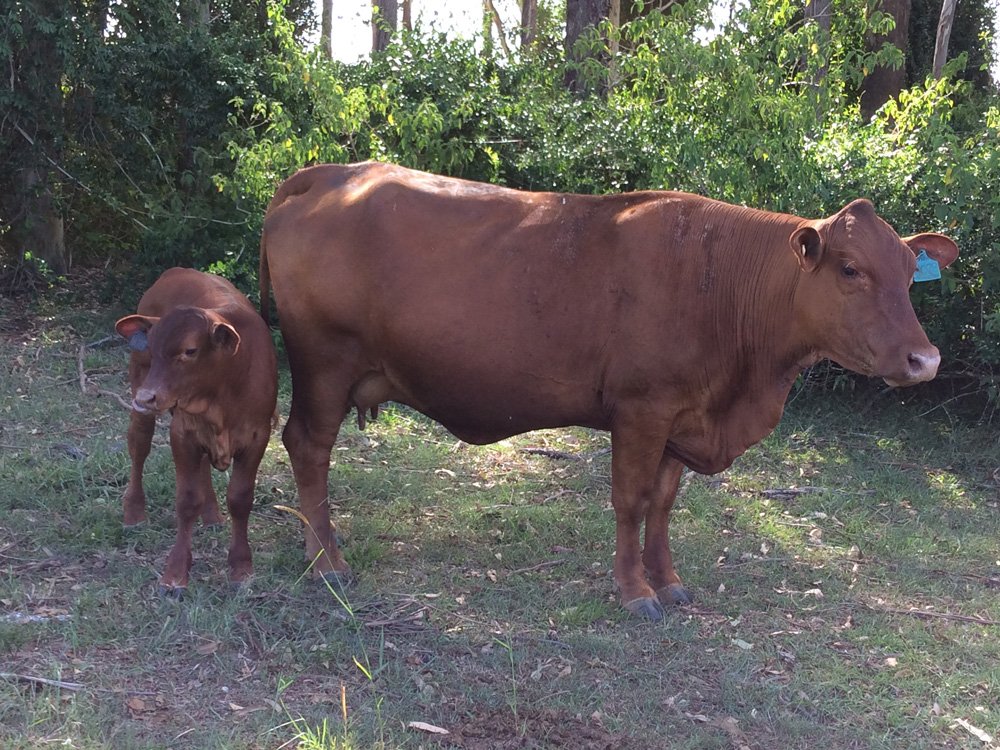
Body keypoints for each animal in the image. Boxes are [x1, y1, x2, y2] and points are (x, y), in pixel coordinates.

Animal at [115, 267, 278, 596]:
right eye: (152, 348)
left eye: (190, 350)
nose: (148, 397)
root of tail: (176, 271)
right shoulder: (183, 433)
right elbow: (186, 500)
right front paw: (176, 573)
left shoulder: (257, 437)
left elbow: (240, 499)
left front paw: (241, 568)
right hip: (140, 392)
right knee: (139, 446)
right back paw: (134, 513)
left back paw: (212, 514)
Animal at [258, 161, 958, 620]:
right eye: (851, 269)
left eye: (909, 272)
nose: (924, 359)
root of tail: (331, 172)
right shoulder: (641, 409)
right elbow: (630, 500)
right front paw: (634, 591)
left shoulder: (683, 417)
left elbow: (664, 505)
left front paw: (668, 580)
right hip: (325, 362)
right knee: (308, 446)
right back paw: (327, 561)